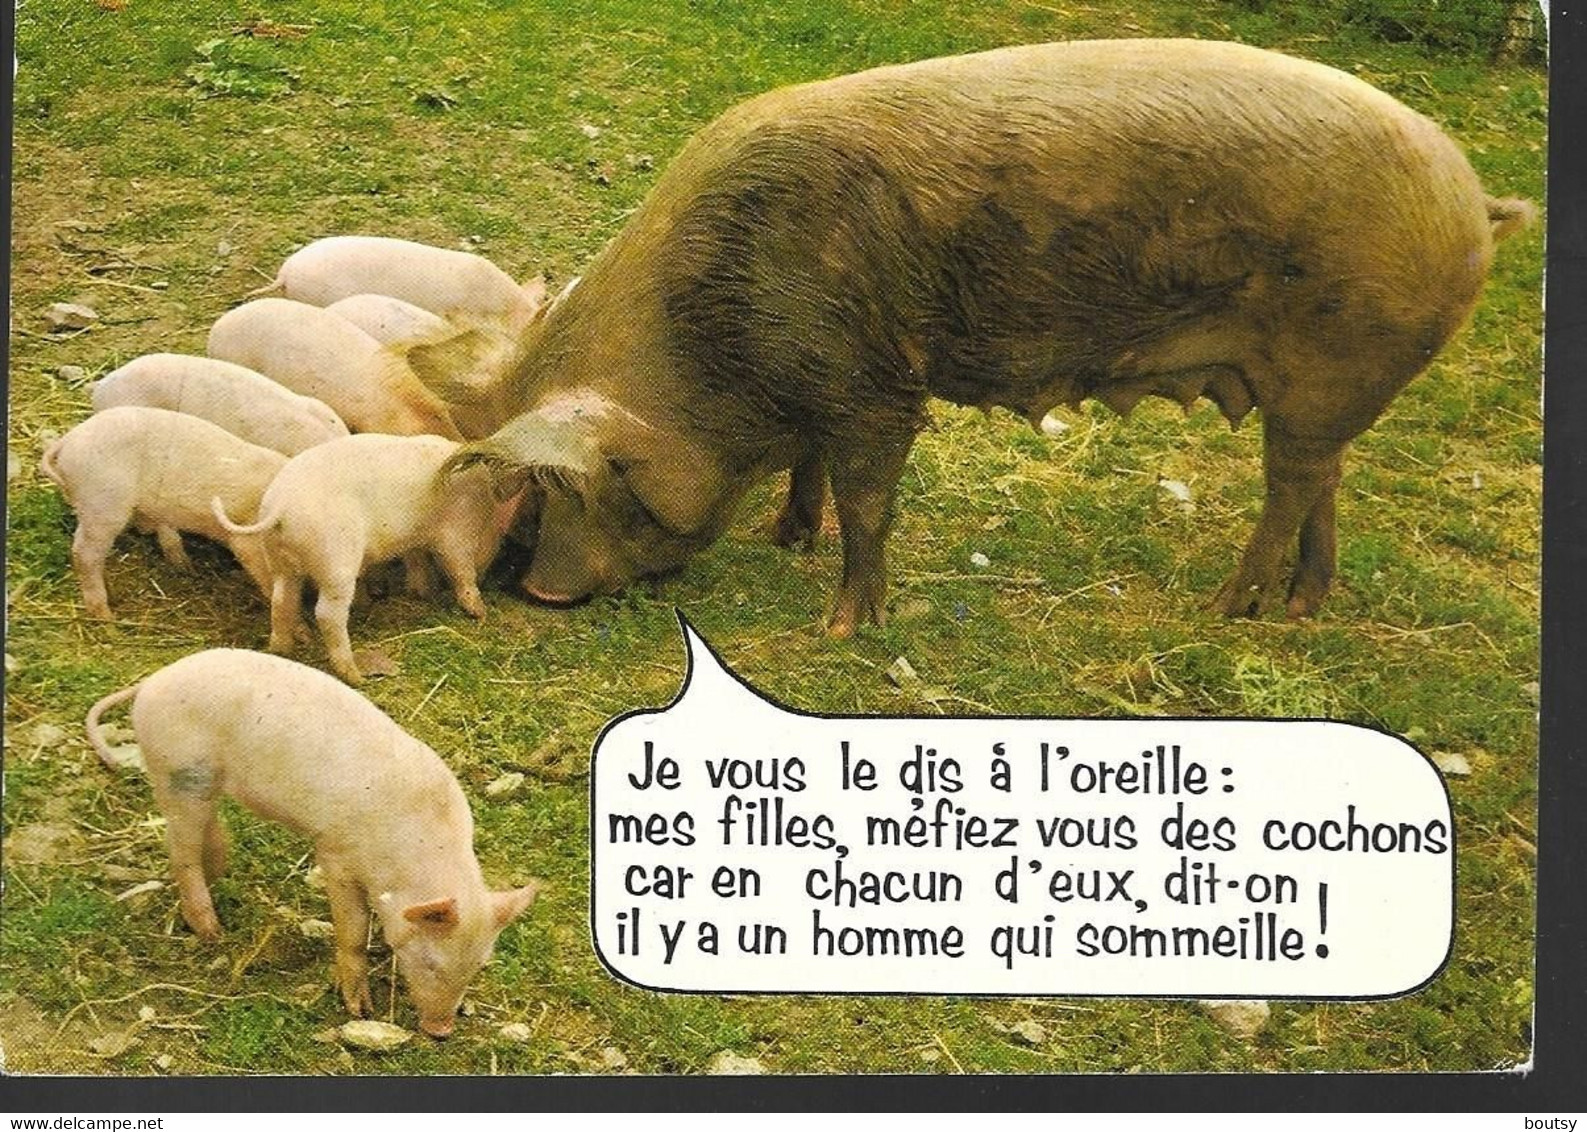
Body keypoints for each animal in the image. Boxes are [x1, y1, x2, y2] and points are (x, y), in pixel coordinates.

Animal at [39, 406, 286, 618]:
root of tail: (67, 442)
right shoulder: (247, 539)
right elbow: (266, 578)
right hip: (102, 503)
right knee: (84, 552)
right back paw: (106, 617)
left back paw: (185, 568)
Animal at [85, 648, 540, 1037]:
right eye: (429, 963)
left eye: (478, 966)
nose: (441, 1030)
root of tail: (151, 683)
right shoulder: (336, 854)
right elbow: (353, 932)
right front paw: (360, 1010)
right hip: (179, 771)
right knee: (180, 848)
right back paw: (211, 931)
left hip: (200, 780)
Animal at [211, 433, 520, 684]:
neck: (482, 506)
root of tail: (281, 507)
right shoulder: (454, 534)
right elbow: (460, 569)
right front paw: (479, 611)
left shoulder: (414, 538)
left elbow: (416, 559)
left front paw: (422, 592)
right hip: (336, 561)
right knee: (326, 613)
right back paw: (355, 675)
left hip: (281, 562)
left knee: (282, 601)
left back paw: (281, 649)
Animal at [444, 39, 1535, 635]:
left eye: (591, 486)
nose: (537, 593)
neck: (714, 334)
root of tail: (1474, 201)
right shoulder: (821, 389)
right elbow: (810, 474)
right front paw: (786, 537)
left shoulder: (877, 387)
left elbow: (869, 502)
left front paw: (843, 628)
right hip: (1330, 391)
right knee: (1324, 482)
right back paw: (1301, 608)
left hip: (1330, 365)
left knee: (1289, 488)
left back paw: (1227, 608)